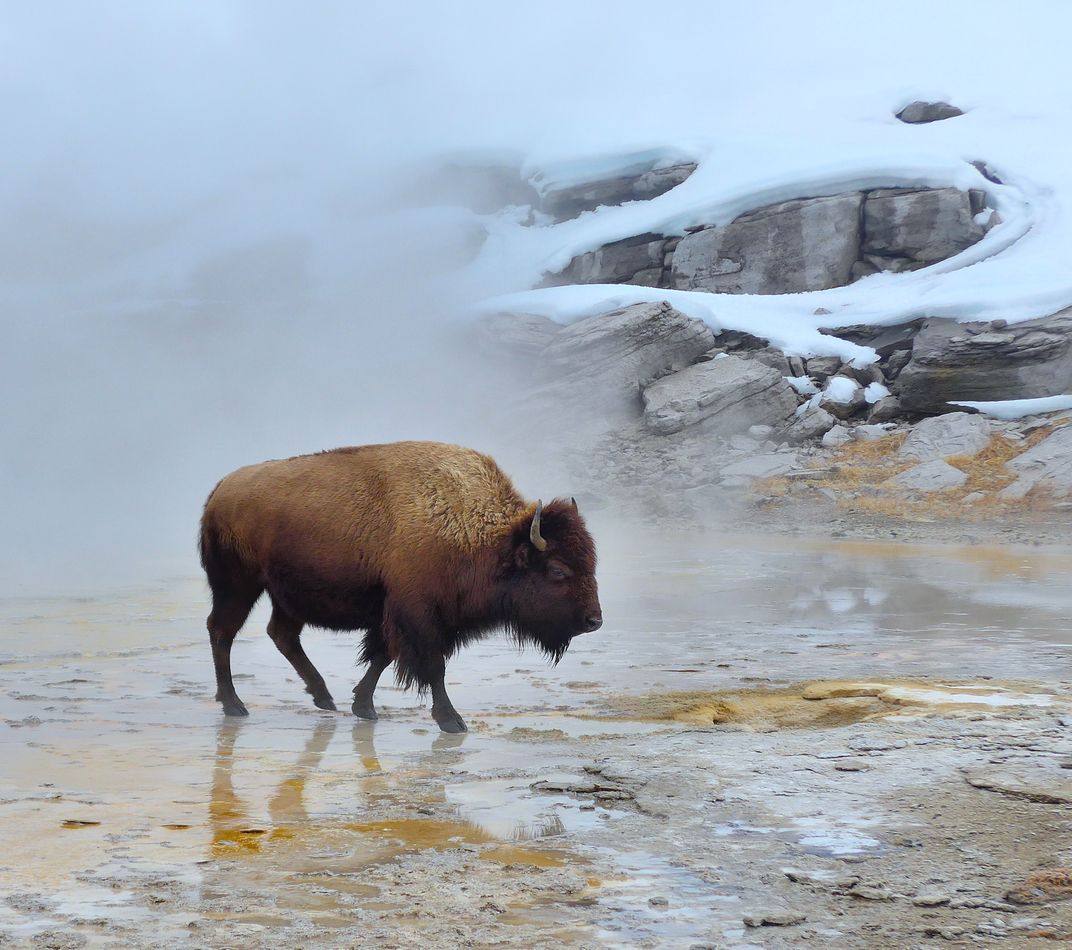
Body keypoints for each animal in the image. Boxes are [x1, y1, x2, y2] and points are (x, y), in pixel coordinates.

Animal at [199, 441, 601, 732]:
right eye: (558, 570)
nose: (594, 620)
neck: (483, 537)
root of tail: (220, 490)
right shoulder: (418, 615)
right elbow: (433, 667)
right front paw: (452, 721)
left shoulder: (394, 616)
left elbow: (381, 656)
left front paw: (363, 706)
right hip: (238, 586)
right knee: (222, 631)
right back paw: (235, 705)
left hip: (286, 596)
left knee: (281, 634)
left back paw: (323, 697)